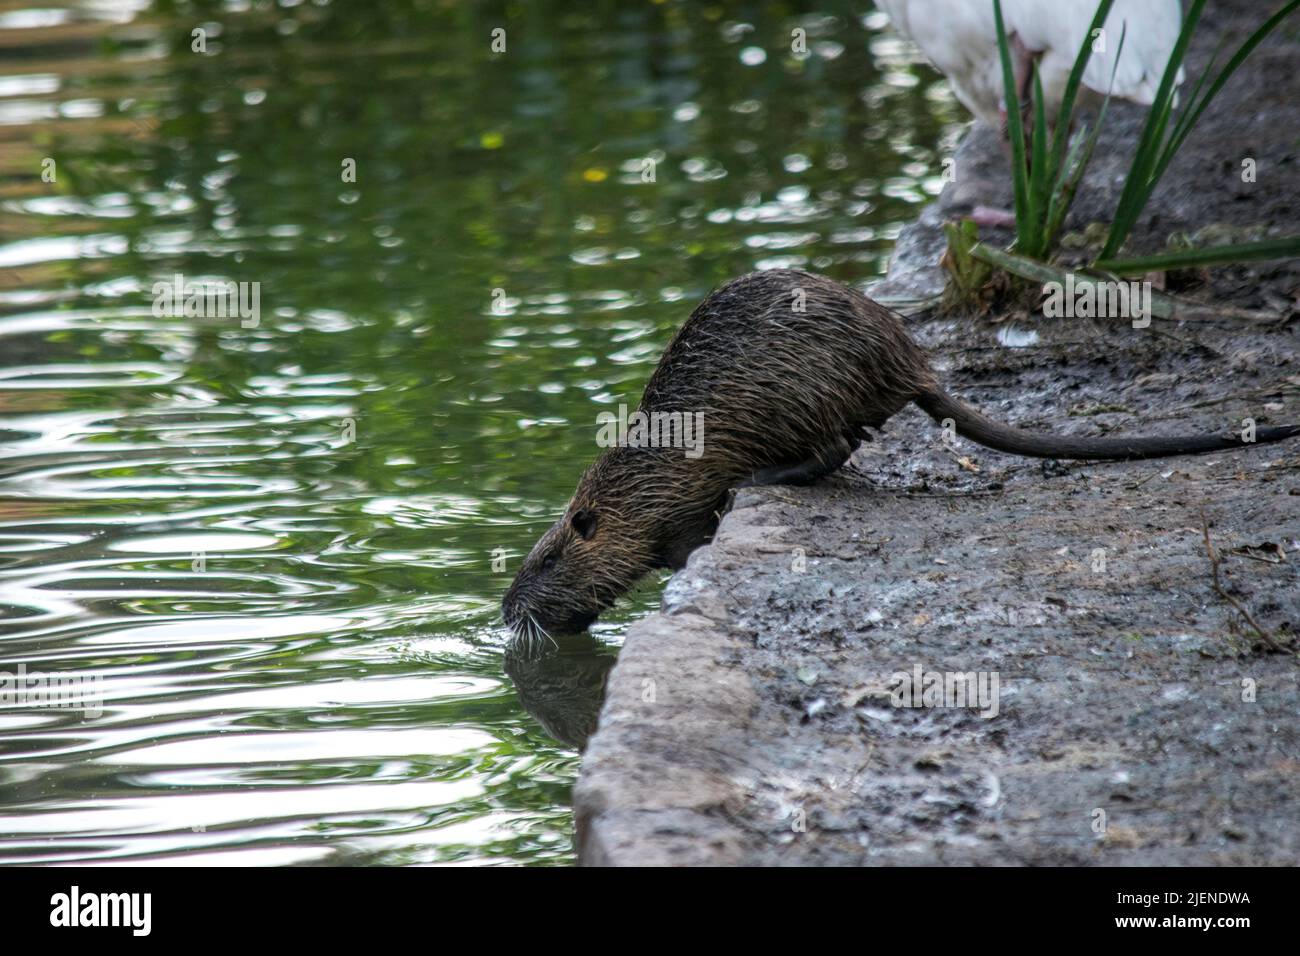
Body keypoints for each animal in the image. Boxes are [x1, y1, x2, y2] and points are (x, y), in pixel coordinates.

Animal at [503, 269, 1299, 643]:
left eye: (548, 559)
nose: (507, 611)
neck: (640, 474)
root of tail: (912, 368)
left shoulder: (677, 497)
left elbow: (682, 541)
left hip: (804, 397)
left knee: (831, 450)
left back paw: (757, 479)